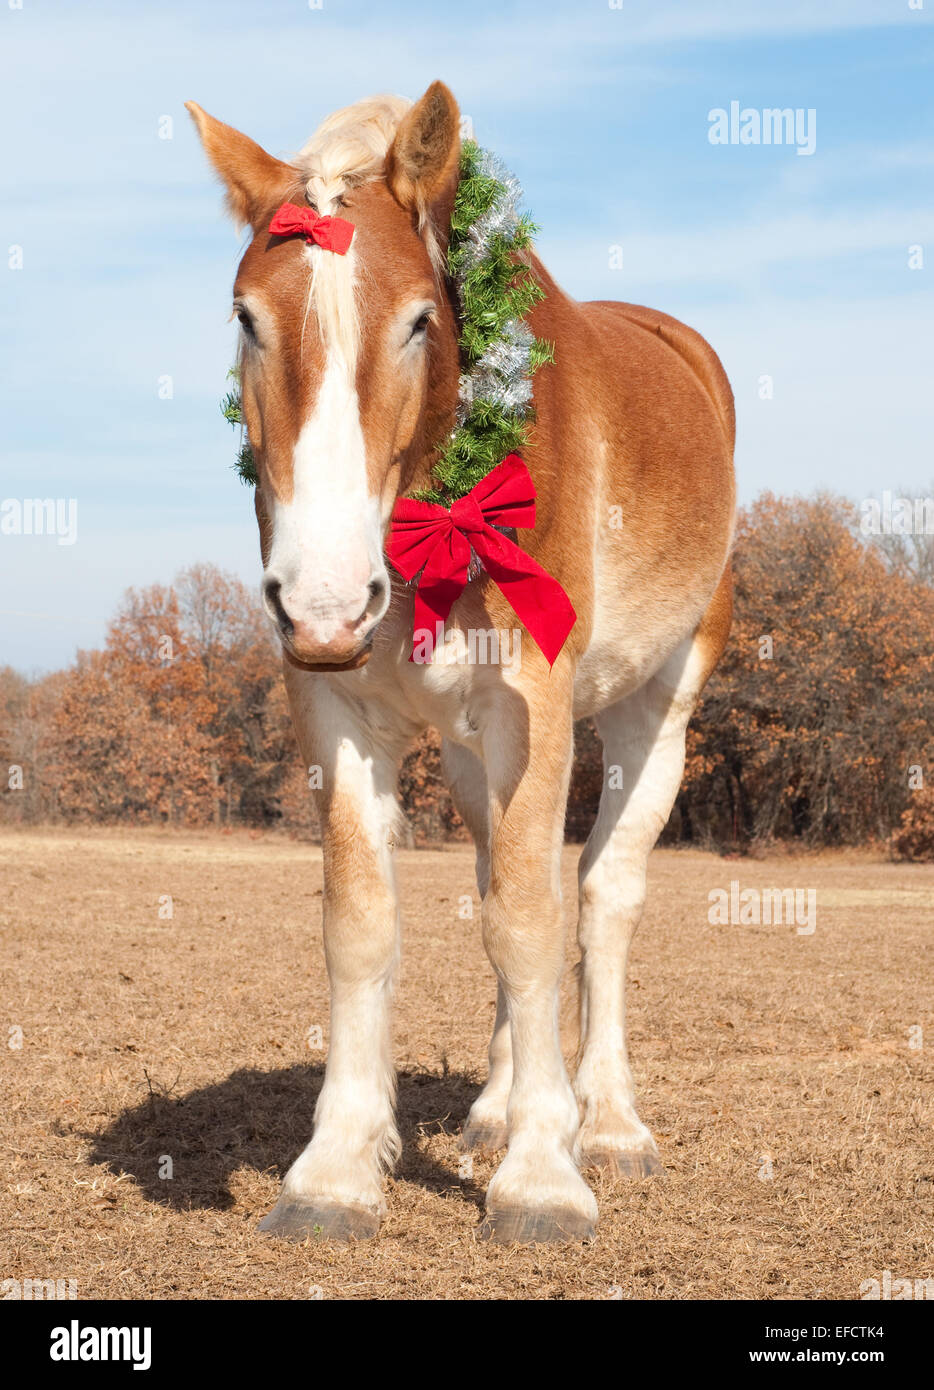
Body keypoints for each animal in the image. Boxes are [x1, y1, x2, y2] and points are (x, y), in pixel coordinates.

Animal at [187, 81, 735, 1244]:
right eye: (246, 316)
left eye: (419, 320)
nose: (324, 601)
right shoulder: (338, 713)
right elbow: (364, 922)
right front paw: (335, 1171)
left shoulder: (534, 705)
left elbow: (531, 921)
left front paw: (542, 1177)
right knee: (499, 875)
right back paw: (494, 1106)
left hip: (654, 711)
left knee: (604, 896)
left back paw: (607, 1121)